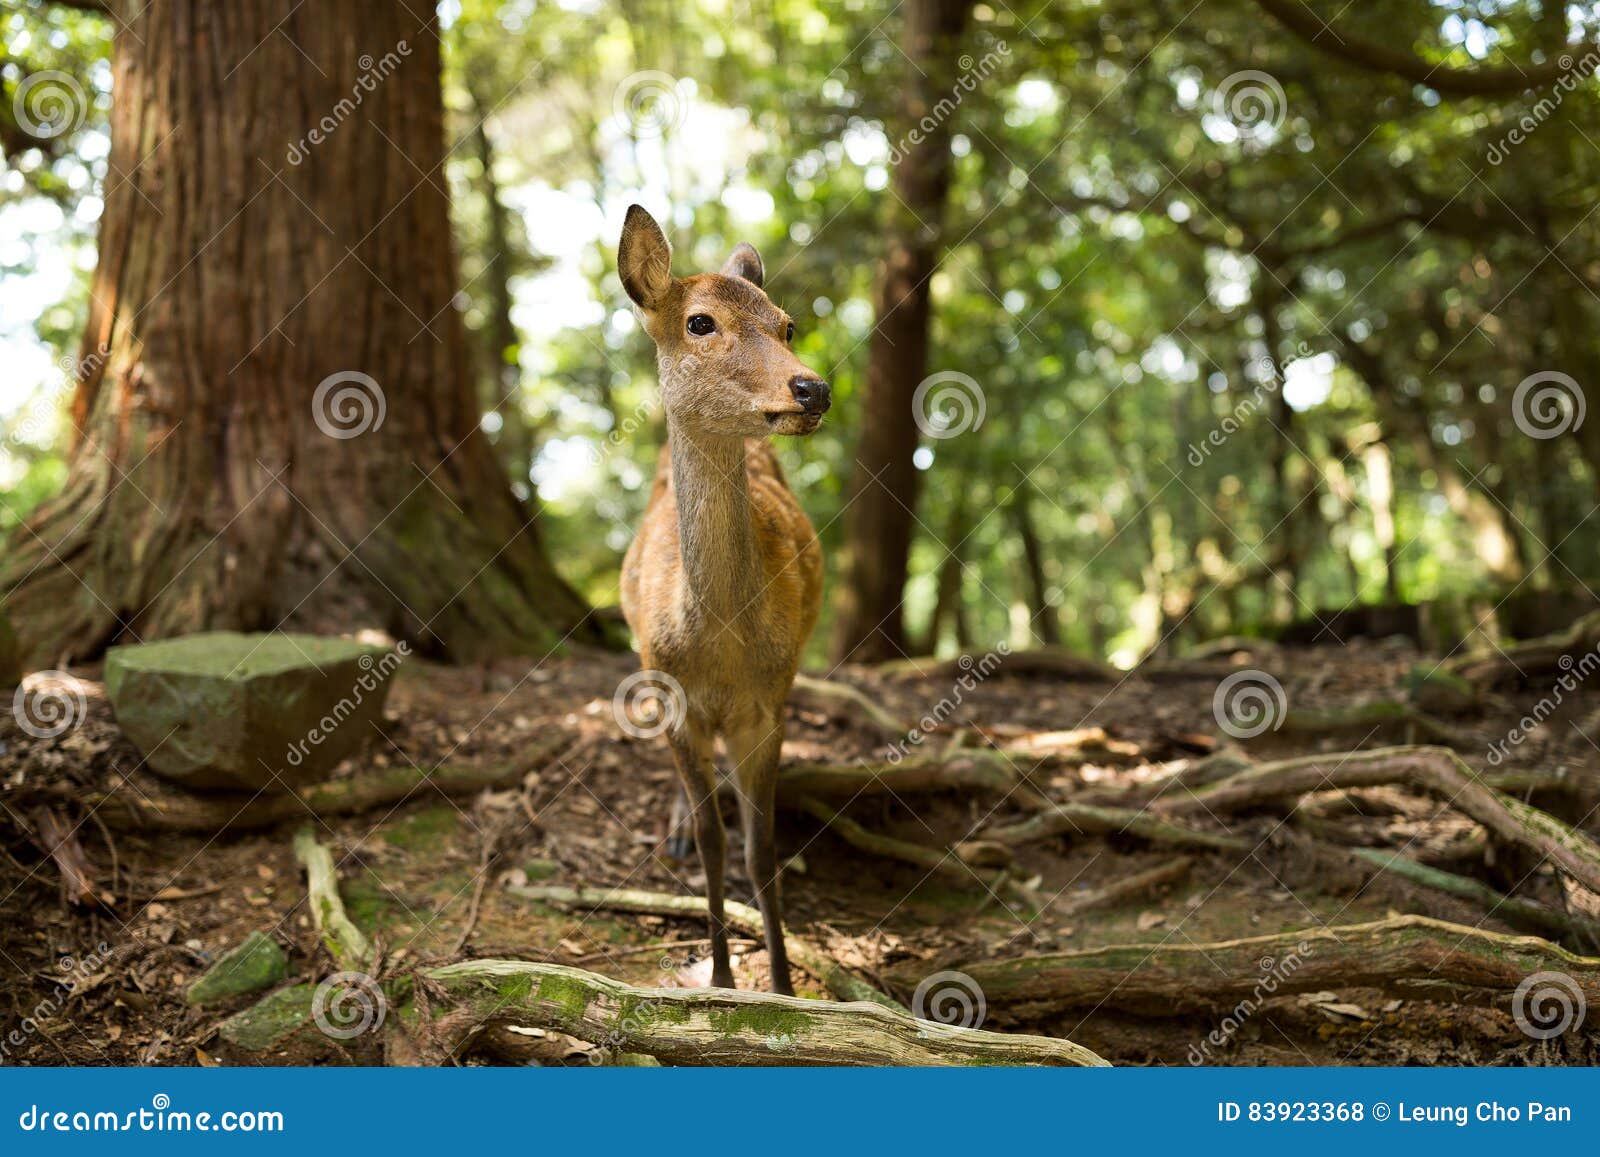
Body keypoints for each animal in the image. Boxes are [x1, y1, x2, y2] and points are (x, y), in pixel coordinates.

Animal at [616, 204, 830, 995]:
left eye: (788, 323)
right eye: (700, 322)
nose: (811, 389)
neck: (721, 645)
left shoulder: (768, 704)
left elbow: (760, 849)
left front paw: (786, 986)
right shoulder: (674, 693)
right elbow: (714, 841)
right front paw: (719, 978)